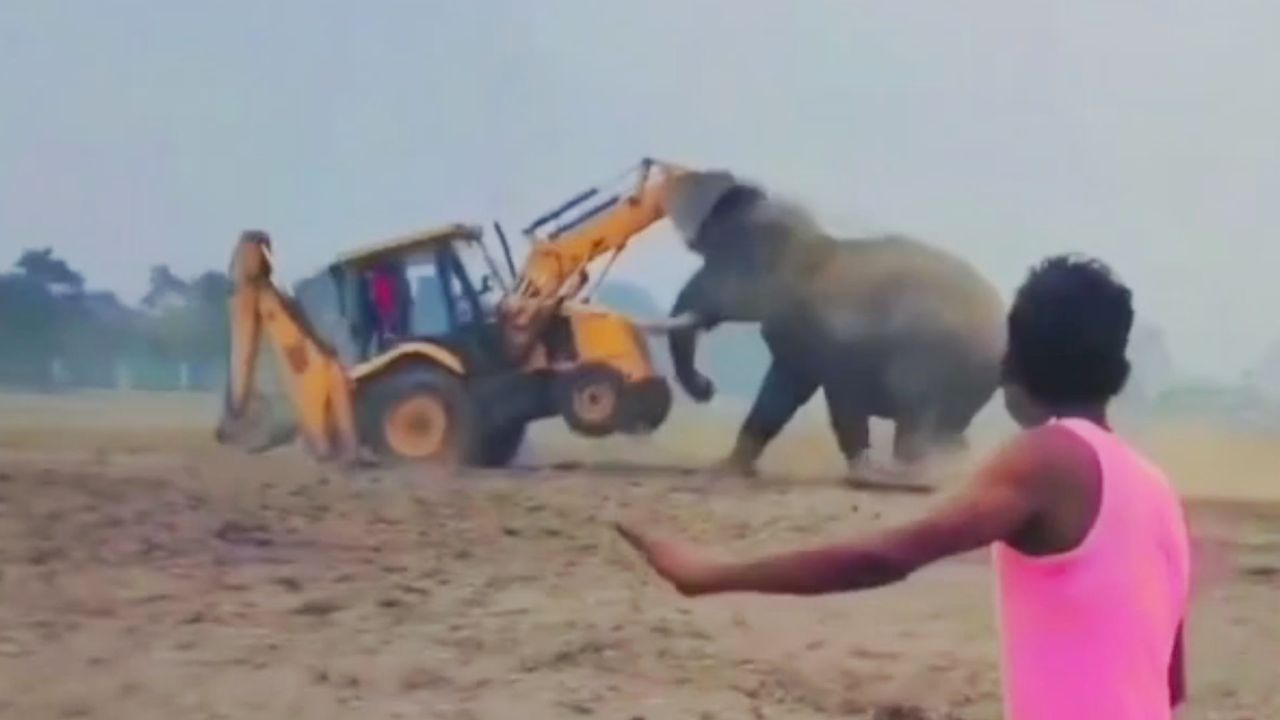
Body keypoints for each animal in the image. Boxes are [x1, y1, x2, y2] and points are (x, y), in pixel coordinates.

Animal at [662, 171, 1007, 478]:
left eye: (717, 263)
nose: (707, 389)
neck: (811, 248)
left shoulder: (837, 339)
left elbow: (840, 402)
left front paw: (865, 474)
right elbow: (778, 396)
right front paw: (726, 470)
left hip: (938, 362)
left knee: (915, 414)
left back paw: (909, 476)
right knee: (946, 431)